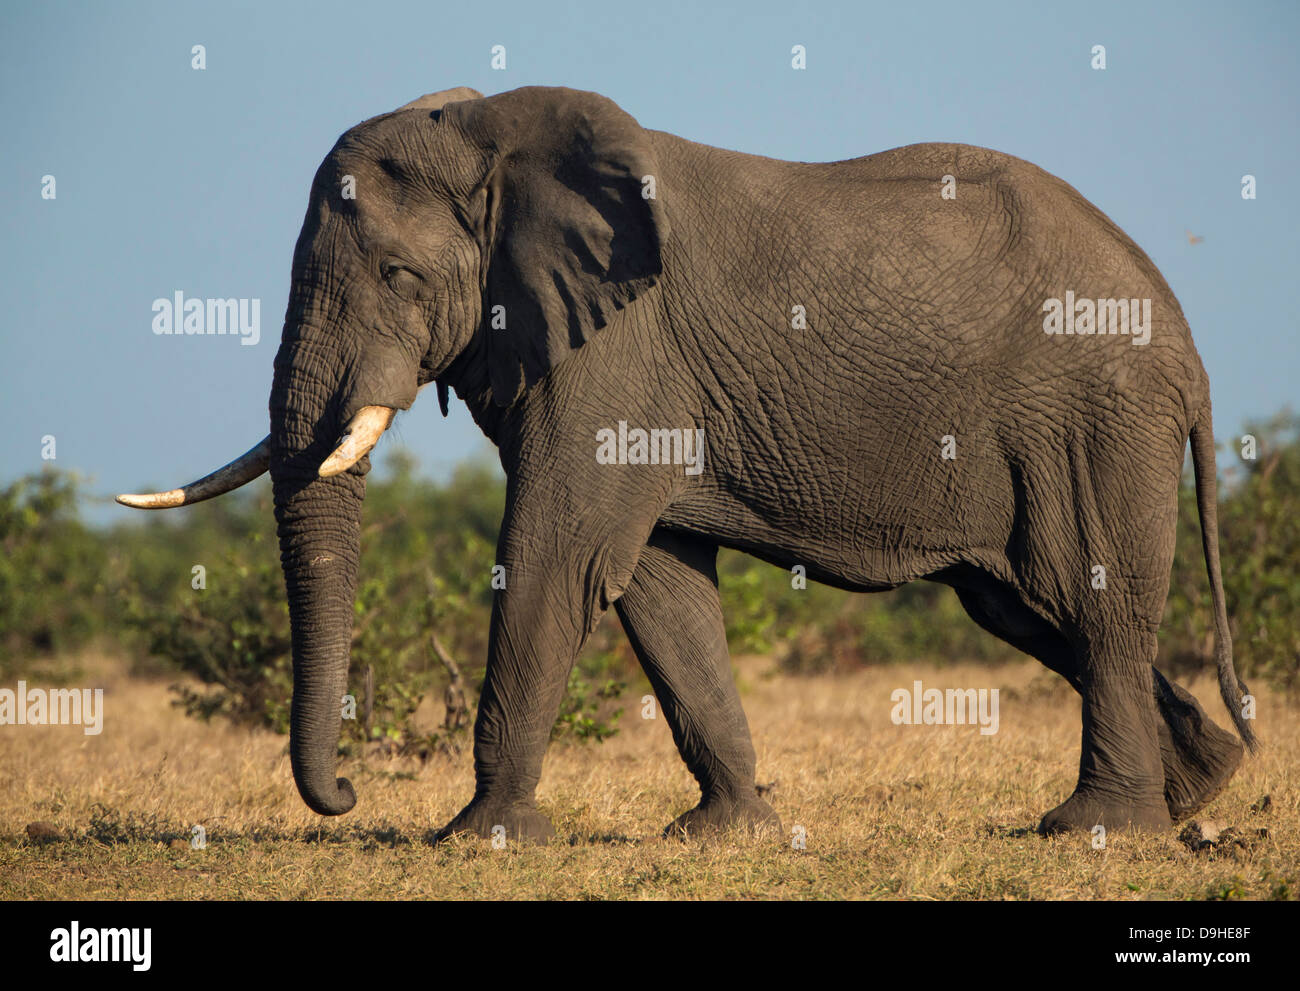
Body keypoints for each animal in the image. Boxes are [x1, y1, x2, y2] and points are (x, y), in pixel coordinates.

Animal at [118, 85, 1255, 842]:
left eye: (398, 276)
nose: (349, 795)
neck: (491, 135)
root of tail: (1188, 343)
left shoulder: (620, 351)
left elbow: (556, 553)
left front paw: (477, 838)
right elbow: (656, 583)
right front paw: (727, 833)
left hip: (1095, 419)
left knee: (1090, 599)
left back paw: (1096, 827)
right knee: (1029, 608)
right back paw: (1198, 789)